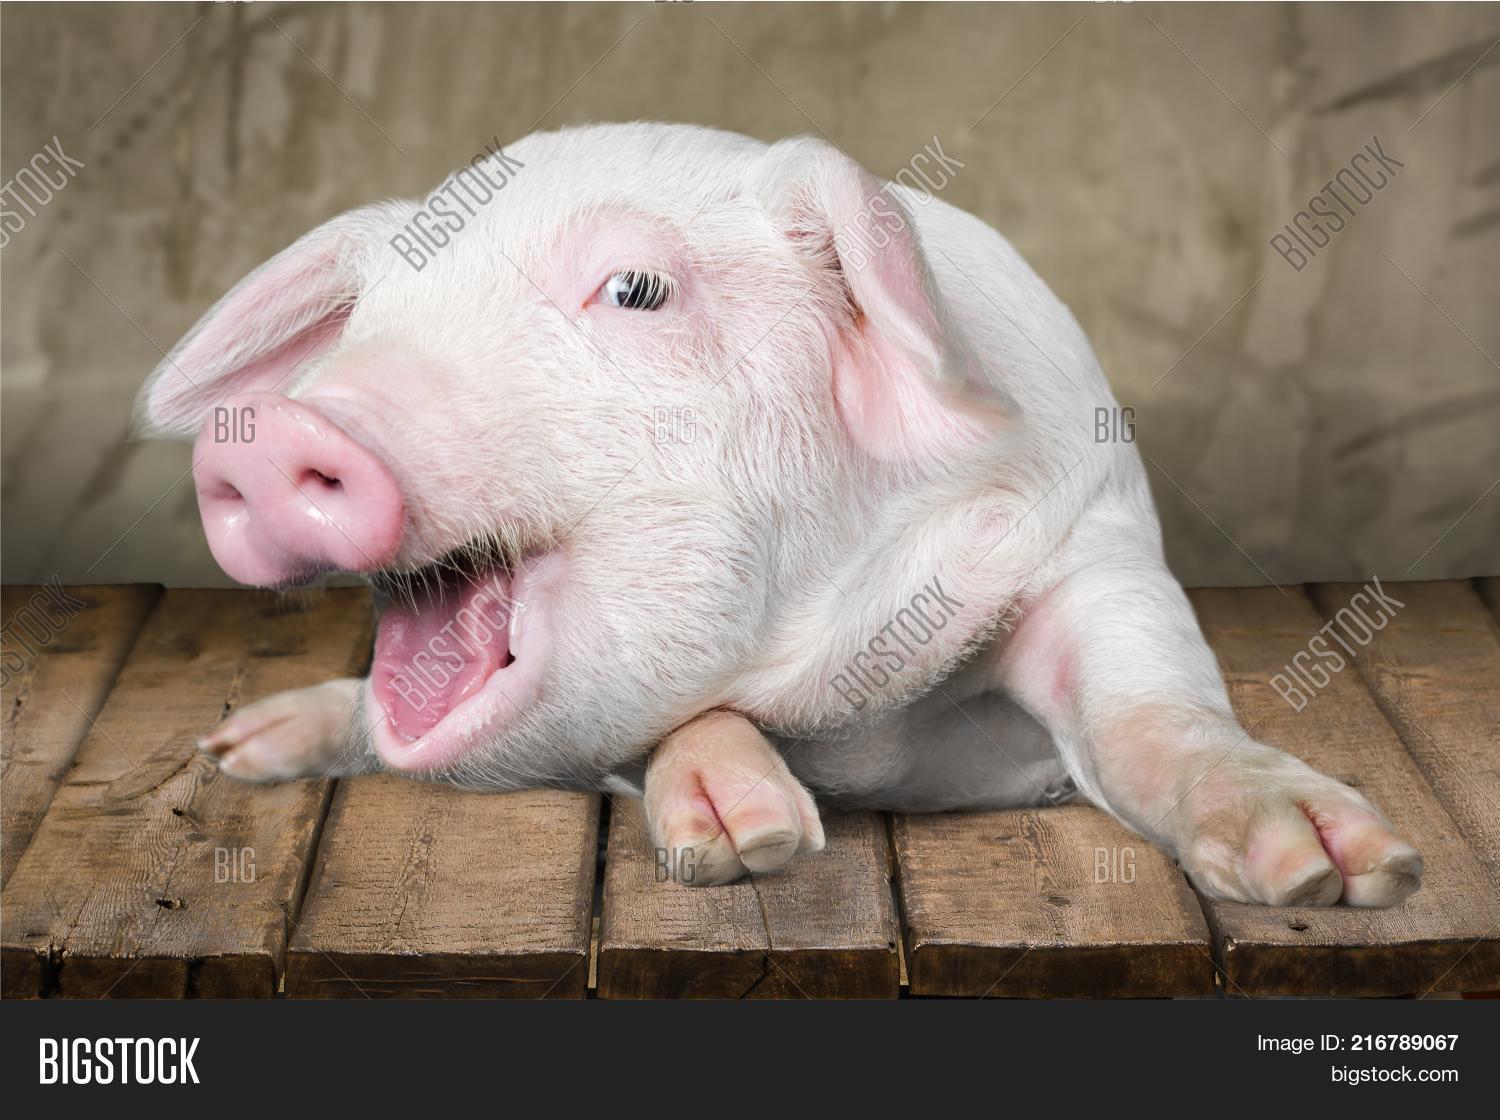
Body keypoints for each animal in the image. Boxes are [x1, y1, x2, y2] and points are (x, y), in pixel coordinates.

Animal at [138, 122, 1422, 906]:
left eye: (637, 289)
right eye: (368, 317)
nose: (275, 432)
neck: (851, 712)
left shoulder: (1095, 541)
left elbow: (1152, 703)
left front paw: (1338, 872)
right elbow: (670, 722)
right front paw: (749, 844)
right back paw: (239, 750)